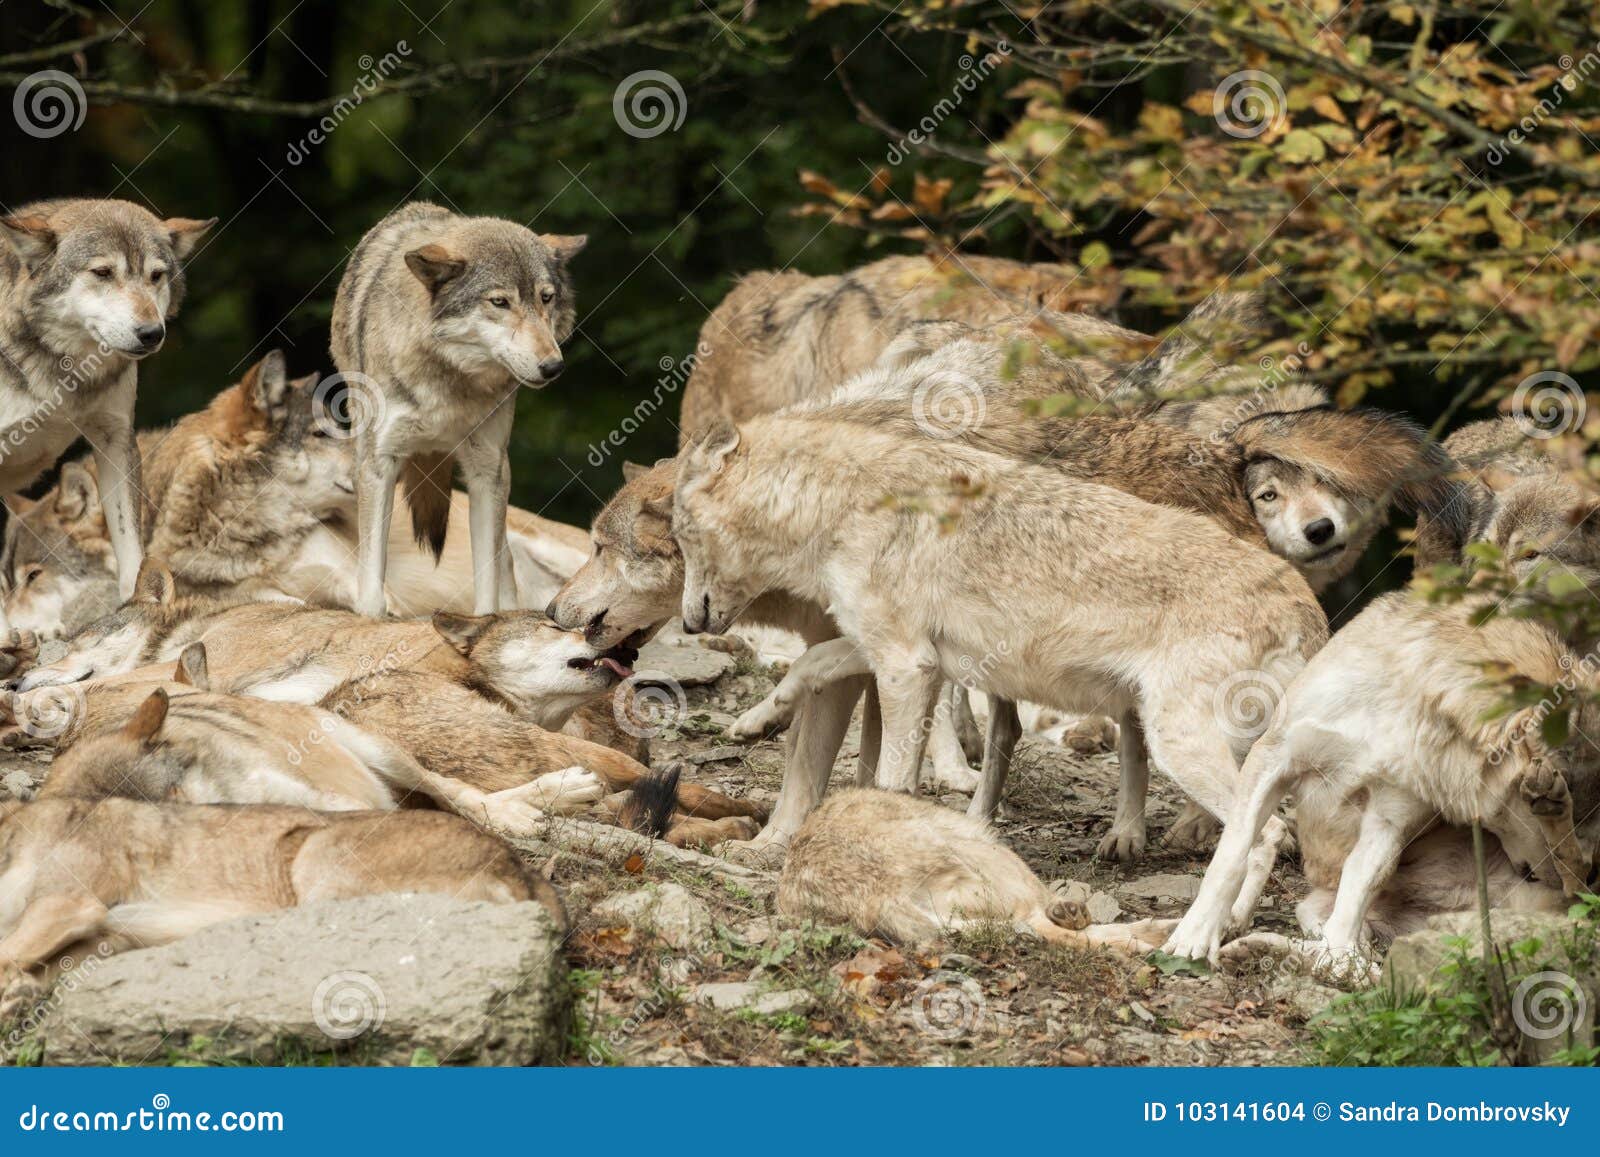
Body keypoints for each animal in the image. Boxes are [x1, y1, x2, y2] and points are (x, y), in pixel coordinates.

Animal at [0, 199, 213, 604]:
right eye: (102, 272)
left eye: (155, 276)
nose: (151, 333)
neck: (63, 369)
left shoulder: (114, 438)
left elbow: (131, 550)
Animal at [330, 202, 587, 617]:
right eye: (500, 302)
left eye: (546, 298)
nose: (553, 367)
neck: (449, 383)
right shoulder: (378, 464)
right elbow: (371, 586)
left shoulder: (486, 470)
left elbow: (488, 583)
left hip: (500, 477)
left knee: (505, 561)